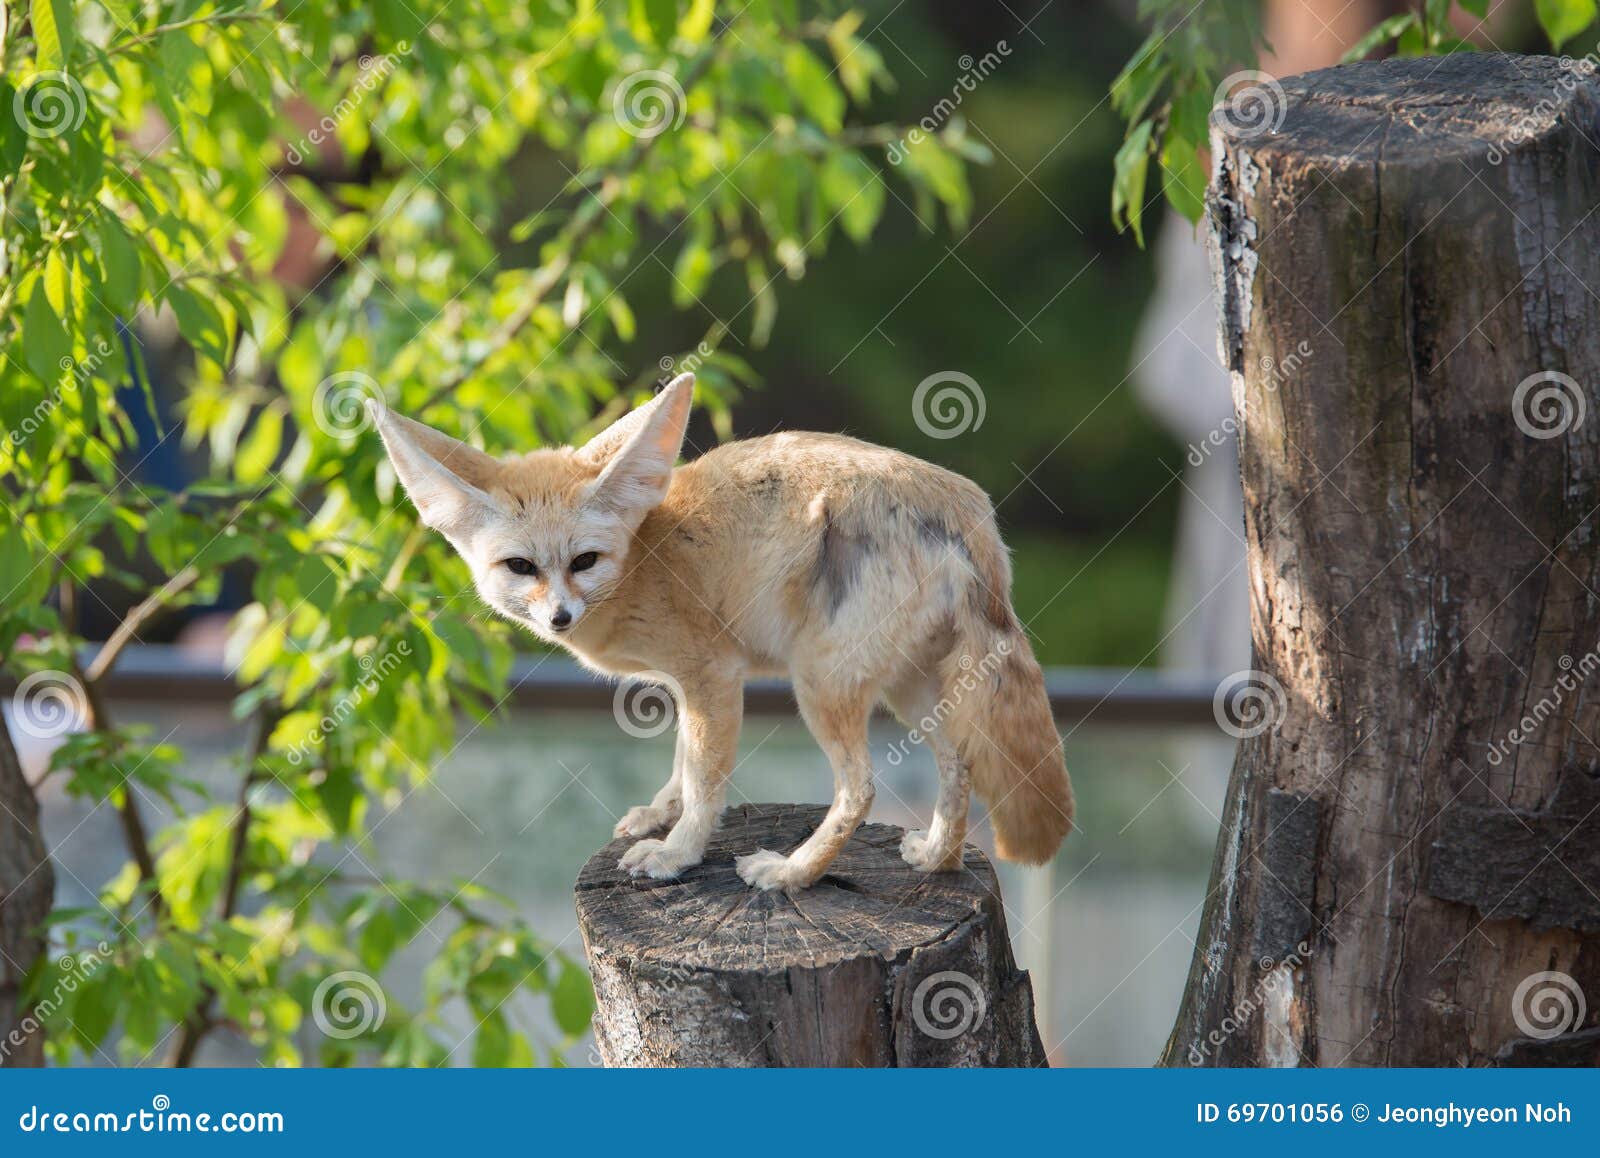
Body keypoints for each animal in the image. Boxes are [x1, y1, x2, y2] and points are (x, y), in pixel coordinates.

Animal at [367, 371, 1073, 892]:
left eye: (583, 561)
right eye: (521, 568)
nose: (560, 617)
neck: (645, 558)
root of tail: (967, 511)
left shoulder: (713, 676)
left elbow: (706, 778)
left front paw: (677, 853)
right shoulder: (686, 686)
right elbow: (683, 763)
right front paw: (659, 815)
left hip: (821, 684)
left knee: (862, 788)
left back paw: (793, 873)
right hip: (911, 687)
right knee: (960, 766)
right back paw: (937, 856)